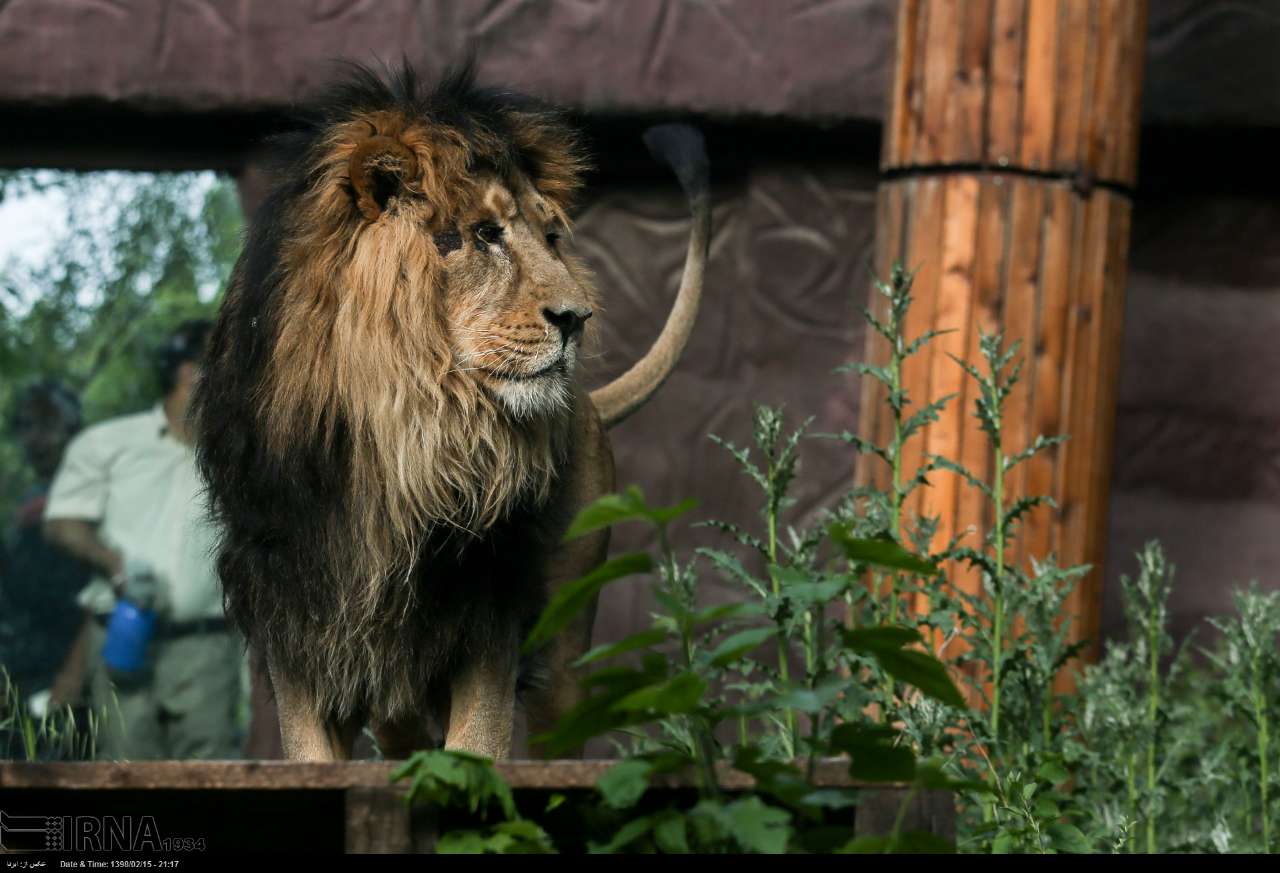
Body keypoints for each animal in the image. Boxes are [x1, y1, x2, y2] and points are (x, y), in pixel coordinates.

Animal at [193, 63, 709, 761]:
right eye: (486, 234)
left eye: (551, 238)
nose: (577, 318)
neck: (406, 430)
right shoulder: (294, 621)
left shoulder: (487, 615)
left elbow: (477, 755)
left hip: (563, 649)